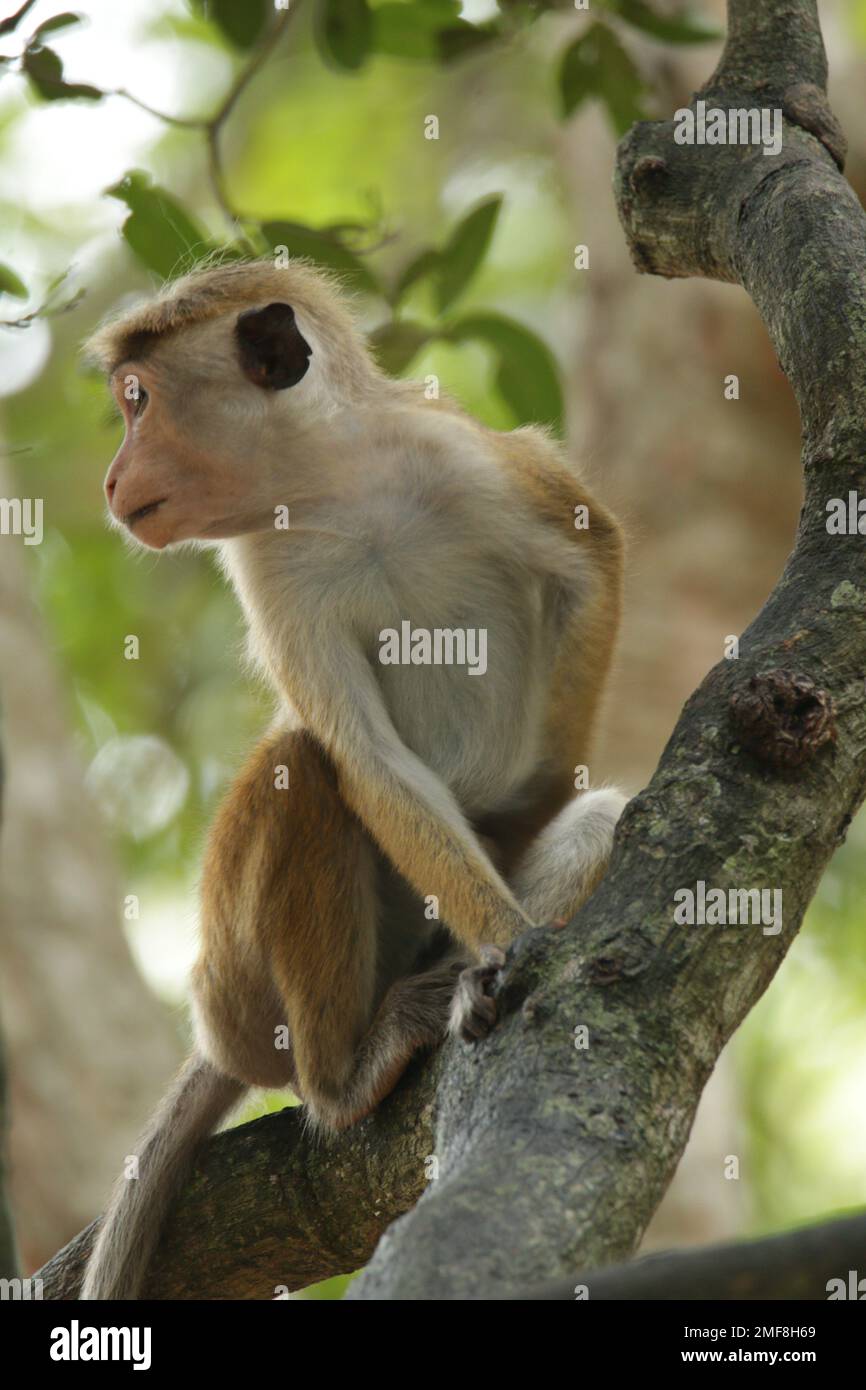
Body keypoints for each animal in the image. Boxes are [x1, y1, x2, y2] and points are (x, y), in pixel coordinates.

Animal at [79, 258, 626, 1299]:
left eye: (137, 401)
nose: (111, 479)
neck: (335, 489)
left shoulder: (472, 459)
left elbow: (594, 562)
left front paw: (521, 832)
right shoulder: (267, 568)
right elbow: (361, 757)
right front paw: (503, 939)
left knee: (604, 819)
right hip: (238, 991)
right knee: (302, 767)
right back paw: (349, 1074)